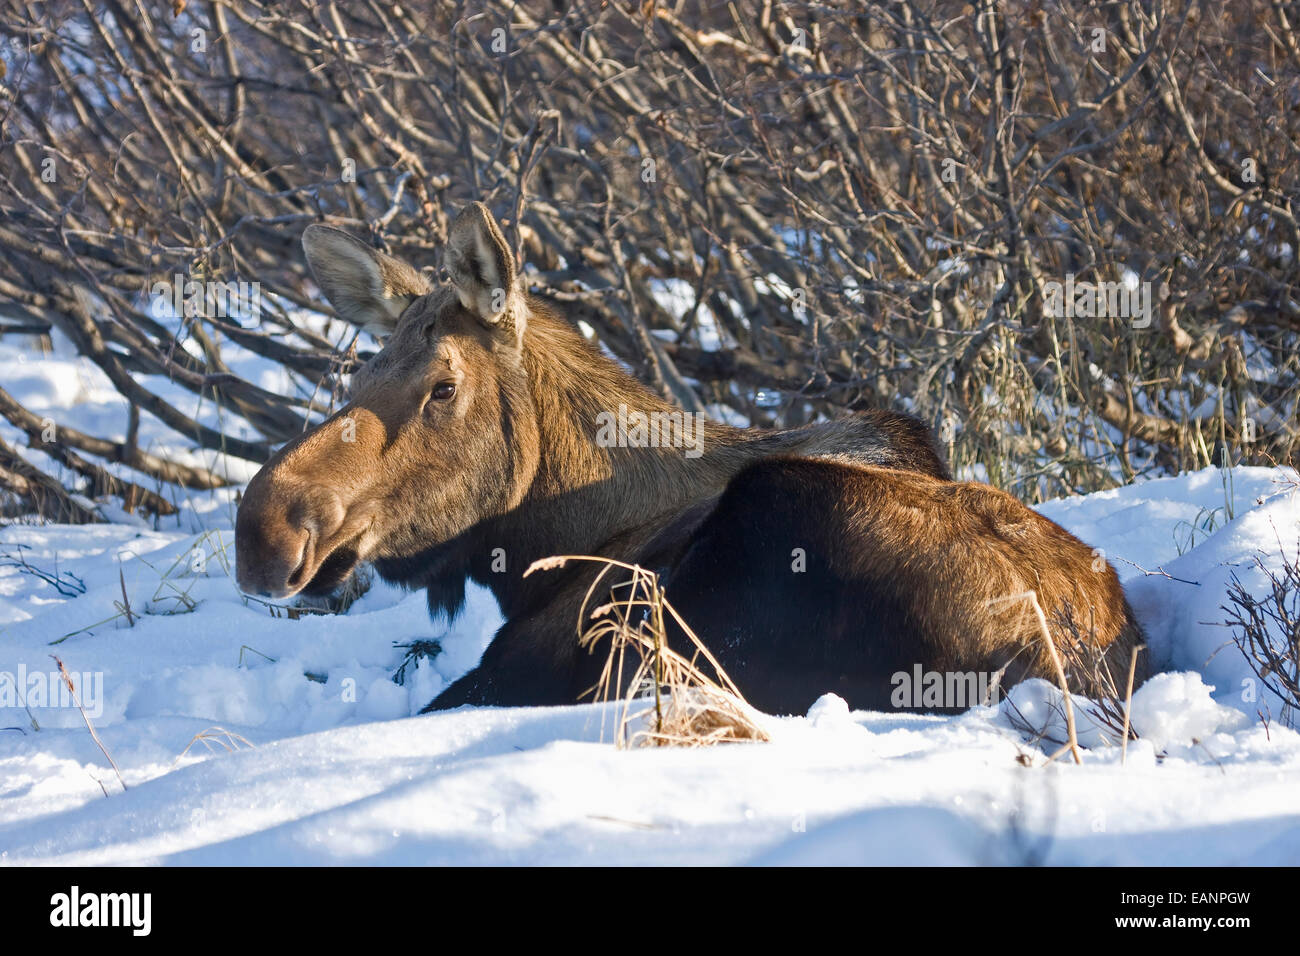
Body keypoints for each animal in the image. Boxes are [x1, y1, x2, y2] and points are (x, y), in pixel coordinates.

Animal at [235, 203, 1146, 715]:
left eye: (442, 387)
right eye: (362, 370)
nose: (266, 531)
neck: (545, 543)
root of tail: (1060, 667)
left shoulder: (523, 662)